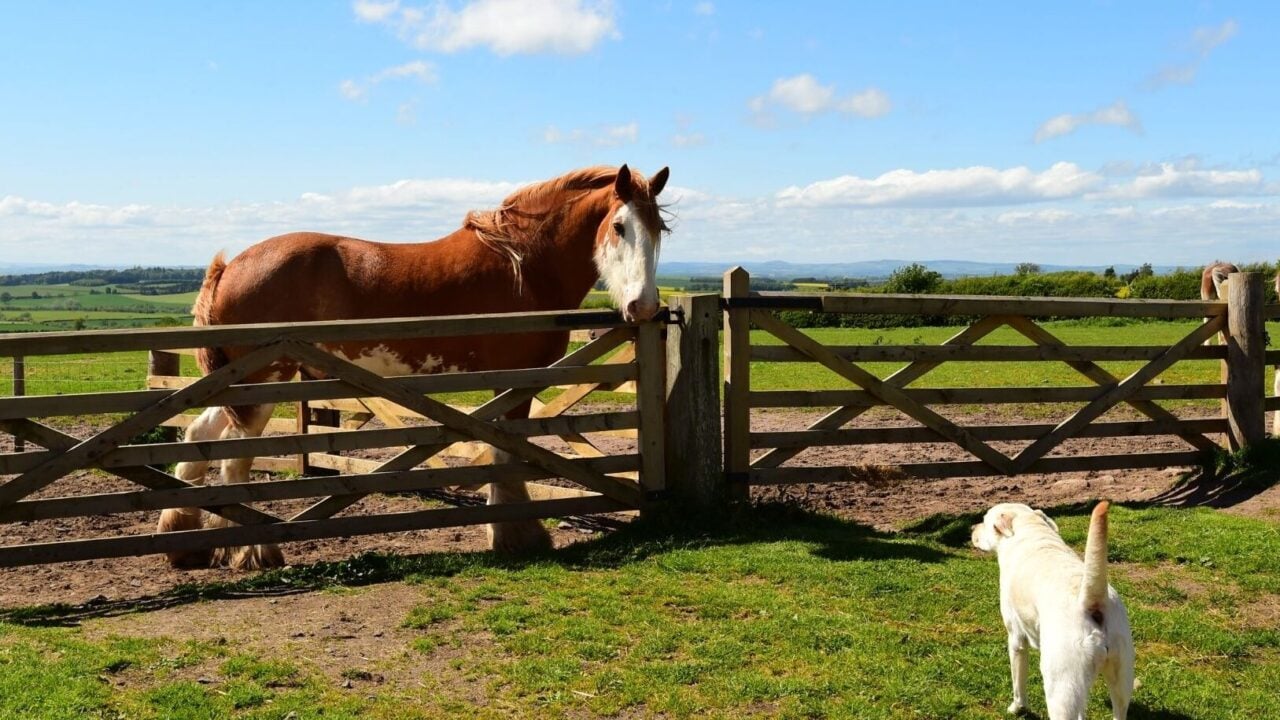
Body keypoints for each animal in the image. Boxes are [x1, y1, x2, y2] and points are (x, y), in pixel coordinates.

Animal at [157, 164, 670, 570]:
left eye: (659, 230)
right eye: (620, 226)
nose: (644, 307)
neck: (525, 265)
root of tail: (230, 267)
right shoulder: (518, 381)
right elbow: (507, 457)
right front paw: (517, 536)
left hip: (237, 383)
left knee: (200, 437)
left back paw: (184, 536)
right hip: (263, 381)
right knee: (235, 455)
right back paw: (254, 552)